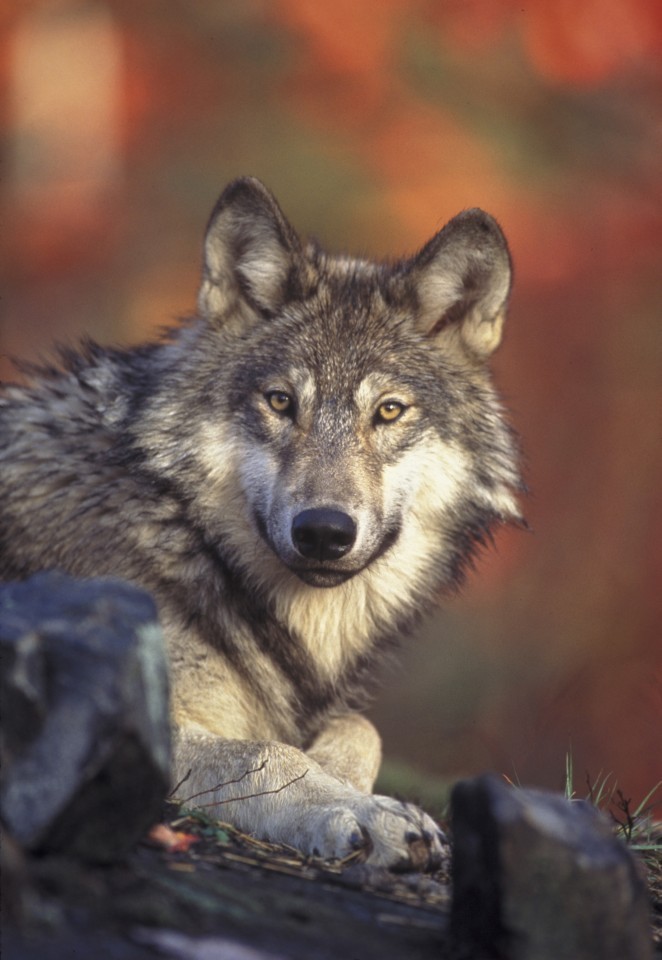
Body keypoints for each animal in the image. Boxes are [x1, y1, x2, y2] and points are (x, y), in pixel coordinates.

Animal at [0, 177, 522, 870]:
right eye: (281, 402)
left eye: (388, 411)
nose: (324, 531)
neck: (185, 535)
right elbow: (266, 754)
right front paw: (361, 811)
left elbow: (360, 727)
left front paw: (345, 781)